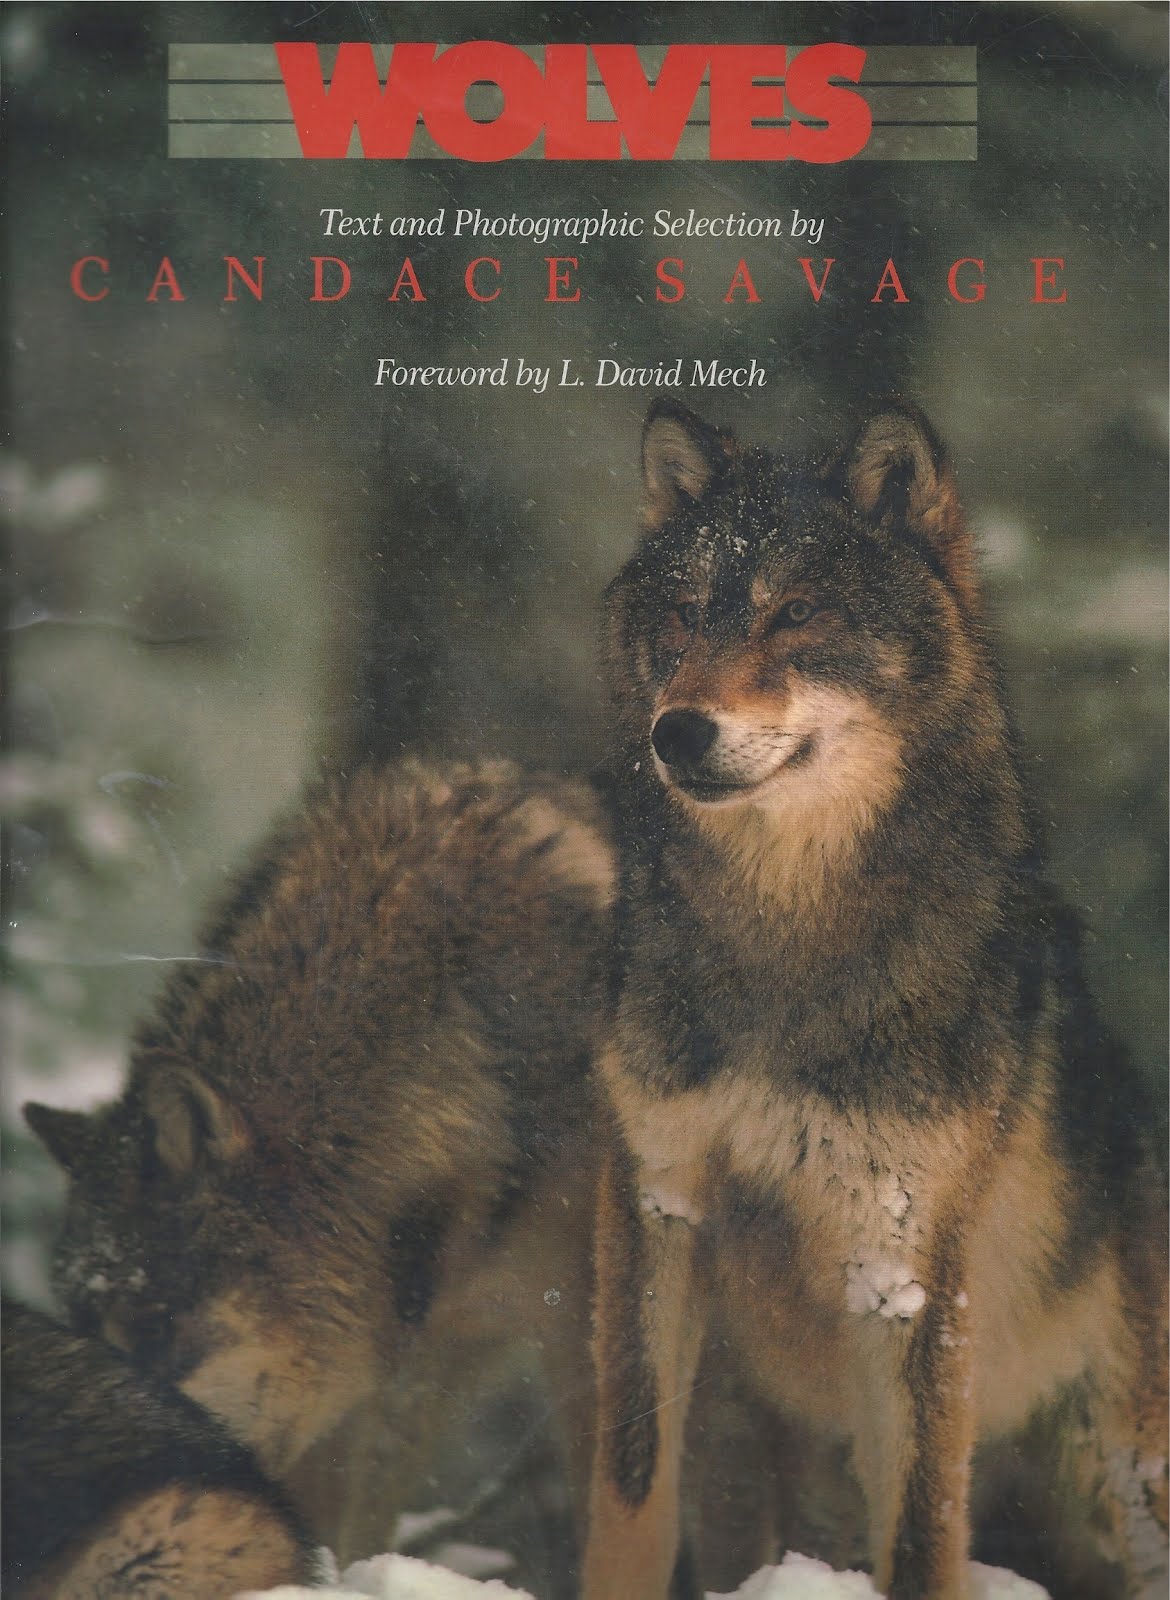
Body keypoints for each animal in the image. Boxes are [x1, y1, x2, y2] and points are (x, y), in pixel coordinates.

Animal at [583, 398, 1168, 1600]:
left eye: (798, 613)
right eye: (684, 615)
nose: (677, 729)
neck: (784, 946)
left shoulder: (901, 1268)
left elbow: (920, 1534)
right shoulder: (656, 1199)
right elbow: (631, 1490)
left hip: (1122, 1471)